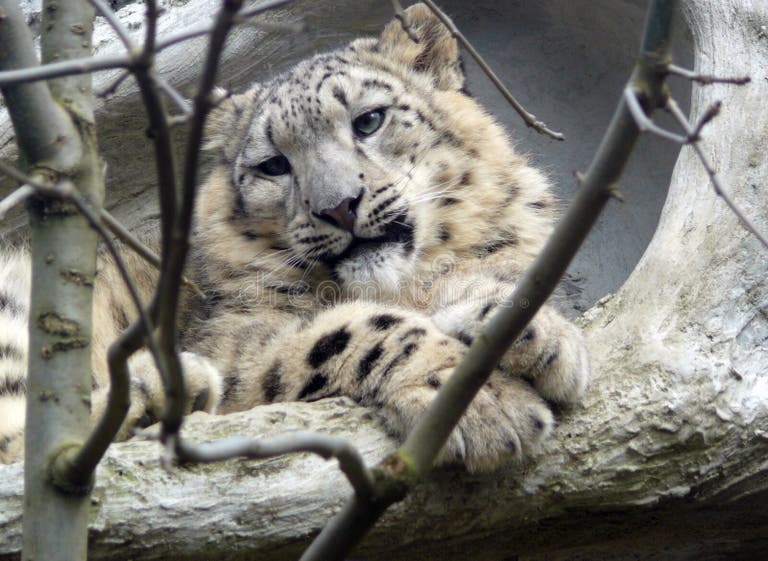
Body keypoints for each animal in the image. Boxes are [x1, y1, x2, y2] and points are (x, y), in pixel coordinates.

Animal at [0, 3, 589, 471]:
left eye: (369, 120)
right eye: (274, 165)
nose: (339, 207)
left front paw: (526, 329)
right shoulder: (238, 345)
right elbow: (345, 331)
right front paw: (484, 405)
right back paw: (158, 390)